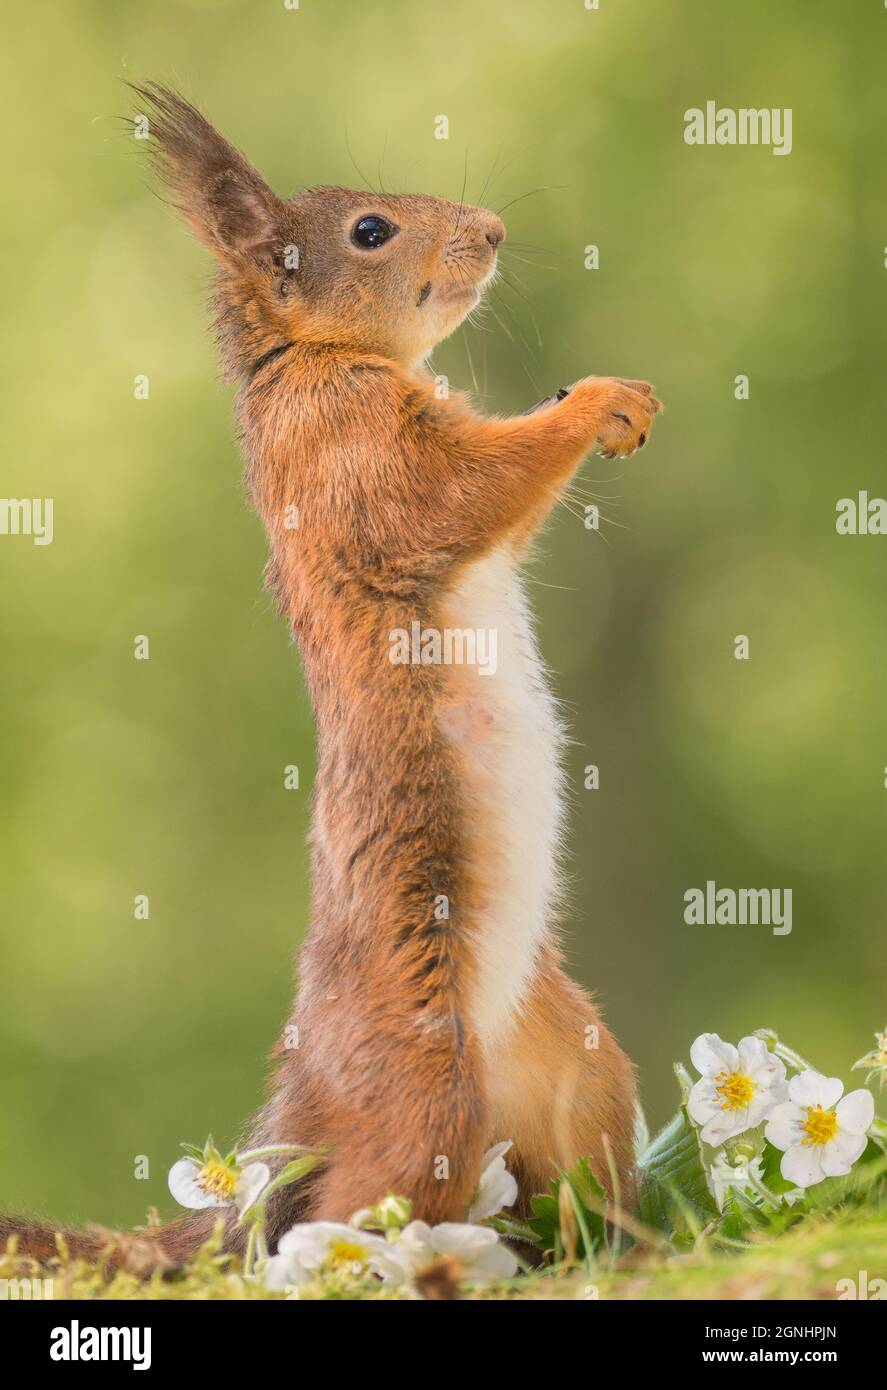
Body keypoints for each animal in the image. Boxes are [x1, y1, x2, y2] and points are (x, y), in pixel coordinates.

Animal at [1, 86, 660, 1268]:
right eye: (369, 231)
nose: (493, 229)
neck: (306, 357)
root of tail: (306, 1094)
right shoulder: (351, 453)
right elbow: (458, 494)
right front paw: (593, 404)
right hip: (419, 1088)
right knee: (344, 1213)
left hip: (584, 1069)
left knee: (584, 1196)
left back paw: (637, 1243)